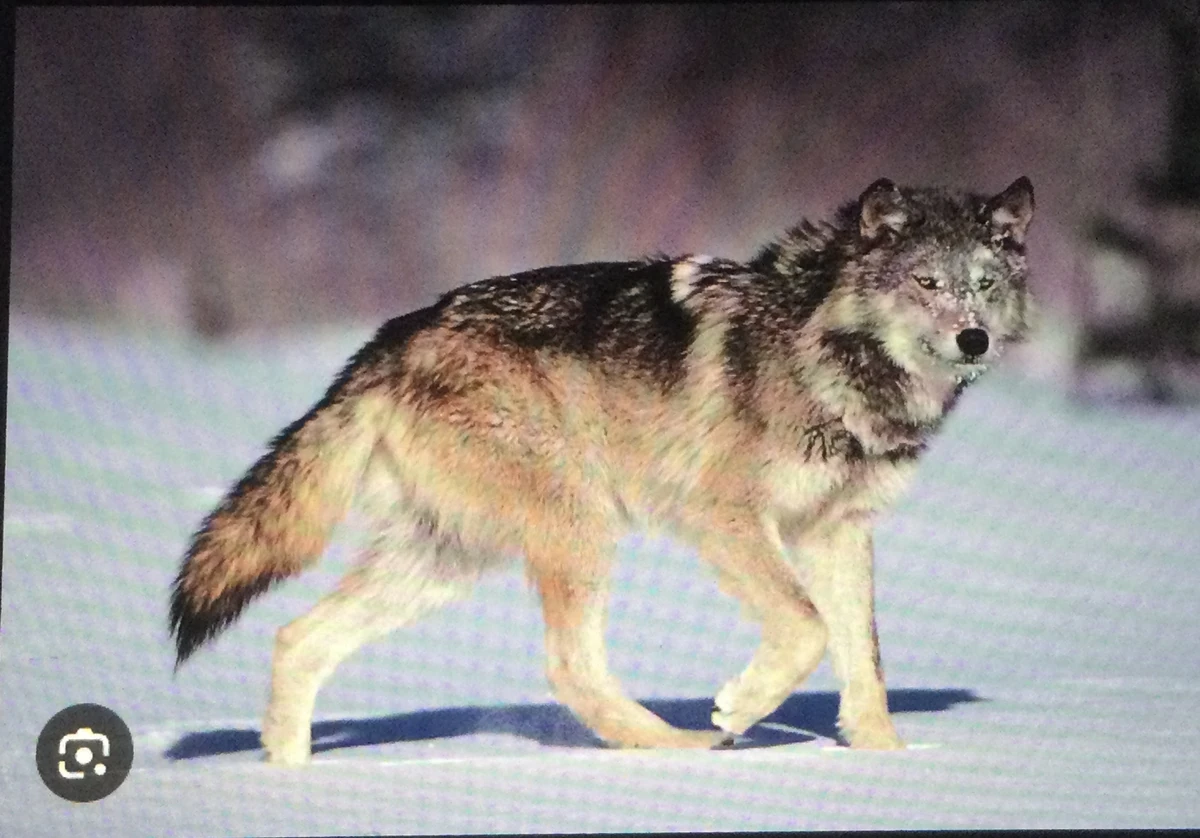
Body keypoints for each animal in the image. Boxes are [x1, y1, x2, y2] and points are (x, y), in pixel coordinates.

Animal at [170, 176, 1034, 764]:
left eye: (984, 285)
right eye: (926, 282)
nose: (975, 339)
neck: (831, 357)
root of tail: (388, 341)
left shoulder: (840, 531)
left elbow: (864, 663)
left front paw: (886, 762)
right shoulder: (724, 516)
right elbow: (808, 629)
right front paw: (738, 711)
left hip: (446, 561)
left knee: (296, 638)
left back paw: (287, 778)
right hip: (578, 525)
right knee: (569, 667)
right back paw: (678, 747)